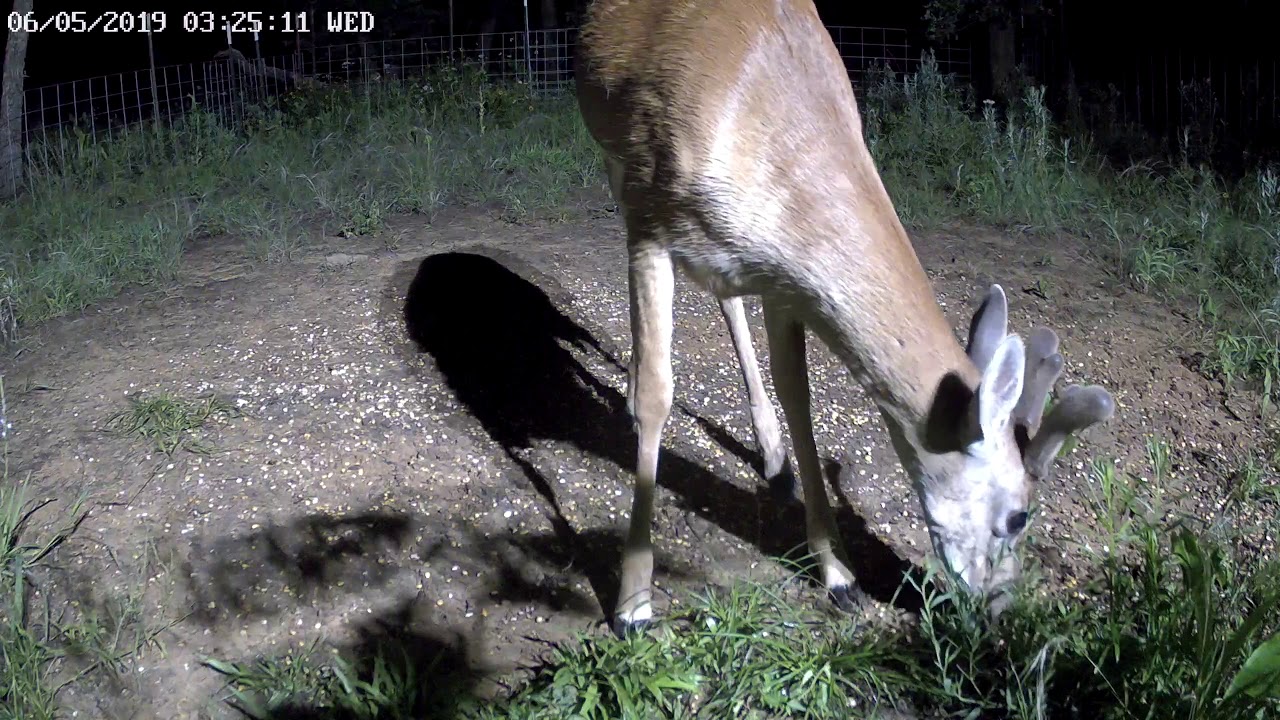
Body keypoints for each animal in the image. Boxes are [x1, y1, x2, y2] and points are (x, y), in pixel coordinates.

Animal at [573, 0, 1115, 636]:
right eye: (1018, 517)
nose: (1002, 607)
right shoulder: (651, 215)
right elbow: (661, 395)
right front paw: (633, 602)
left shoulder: (781, 278)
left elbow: (801, 401)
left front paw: (838, 573)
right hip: (618, 163)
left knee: (724, 300)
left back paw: (772, 458)